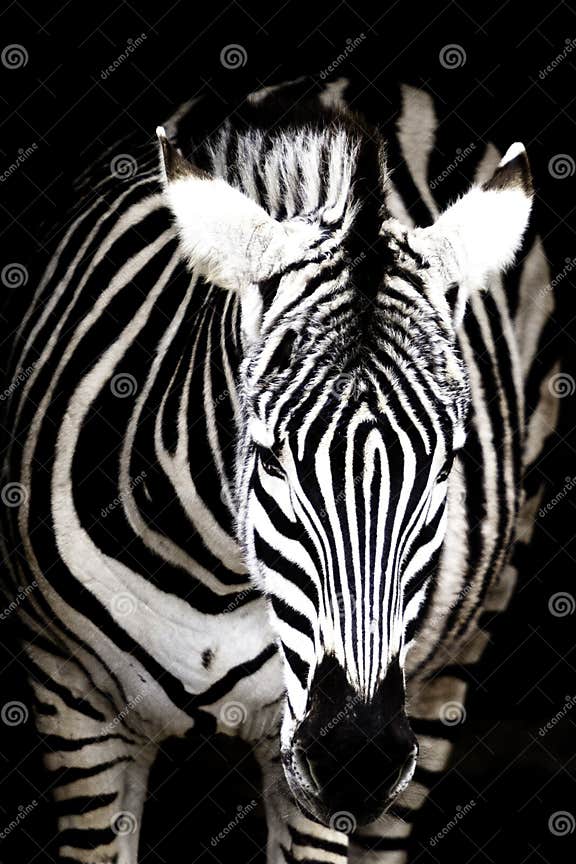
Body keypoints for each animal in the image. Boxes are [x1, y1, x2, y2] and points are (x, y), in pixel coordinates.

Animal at [0, 75, 558, 864]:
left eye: (446, 461)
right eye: (268, 455)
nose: (357, 760)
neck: (212, 573)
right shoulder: (73, 701)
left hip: (449, 668)